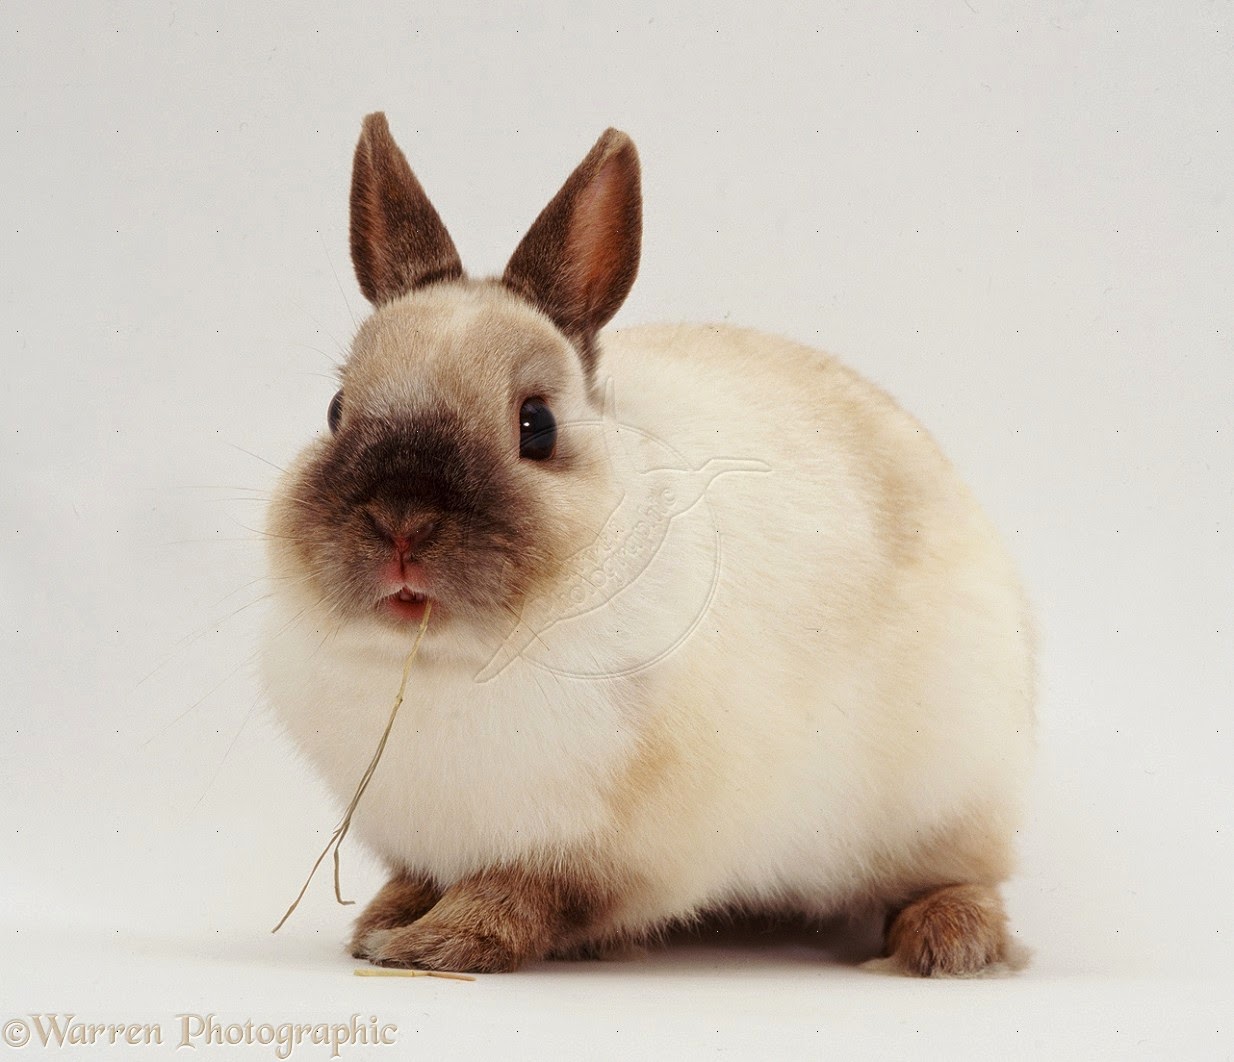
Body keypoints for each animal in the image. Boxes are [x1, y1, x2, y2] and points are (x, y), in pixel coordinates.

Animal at [259, 112, 1036, 977]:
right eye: (335, 411)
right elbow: (419, 878)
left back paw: (944, 941)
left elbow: (517, 897)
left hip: (947, 796)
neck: (441, 661)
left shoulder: (590, 856)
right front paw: (381, 923)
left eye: (537, 425)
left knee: (965, 878)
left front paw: (436, 944)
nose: (400, 521)